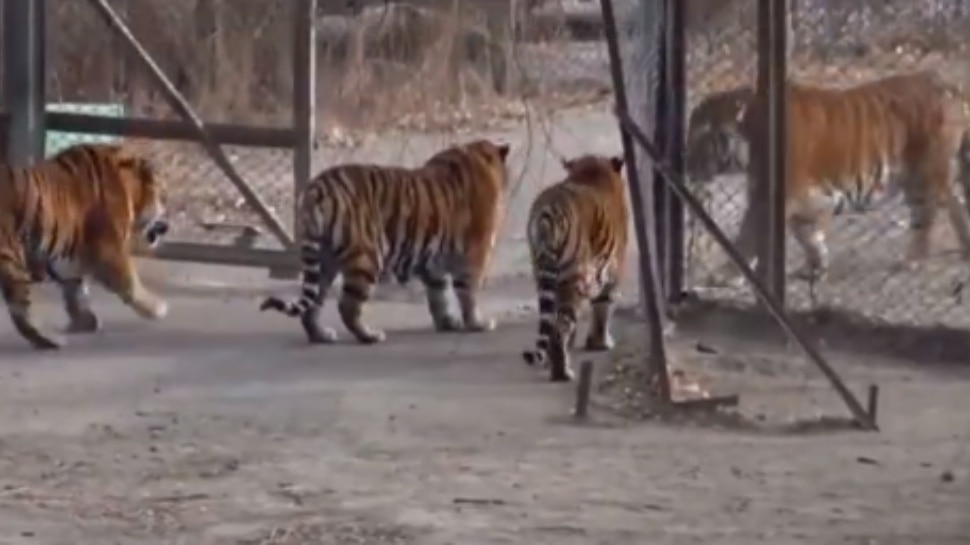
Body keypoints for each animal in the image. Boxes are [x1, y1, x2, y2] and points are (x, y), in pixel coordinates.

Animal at [0, 143, 170, 350]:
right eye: (162, 197)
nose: (167, 226)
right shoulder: (110, 250)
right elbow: (130, 282)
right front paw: (157, 309)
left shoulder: (68, 259)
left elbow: (76, 291)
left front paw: (85, 321)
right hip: (11, 259)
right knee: (22, 309)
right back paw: (51, 340)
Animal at [260, 138, 511, 345]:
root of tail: (318, 187)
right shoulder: (475, 256)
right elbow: (468, 293)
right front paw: (478, 323)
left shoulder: (434, 264)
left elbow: (438, 294)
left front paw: (448, 322)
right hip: (367, 257)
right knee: (348, 306)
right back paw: (370, 336)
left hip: (323, 261)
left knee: (312, 306)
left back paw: (321, 335)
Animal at [521, 154, 629, 382]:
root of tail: (548, 209)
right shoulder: (612, 274)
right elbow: (602, 309)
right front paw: (600, 344)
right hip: (572, 278)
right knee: (559, 329)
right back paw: (563, 373)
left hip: (543, 274)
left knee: (553, 325)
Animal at [689, 70, 970, 287]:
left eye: (702, 134)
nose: (685, 159)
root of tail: (948, 85)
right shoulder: (805, 199)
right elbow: (807, 235)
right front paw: (815, 267)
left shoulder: (771, 198)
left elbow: (747, 236)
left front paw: (727, 275)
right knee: (955, 202)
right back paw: (964, 248)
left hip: (922, 176)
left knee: (928, 217)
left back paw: (912, 260)